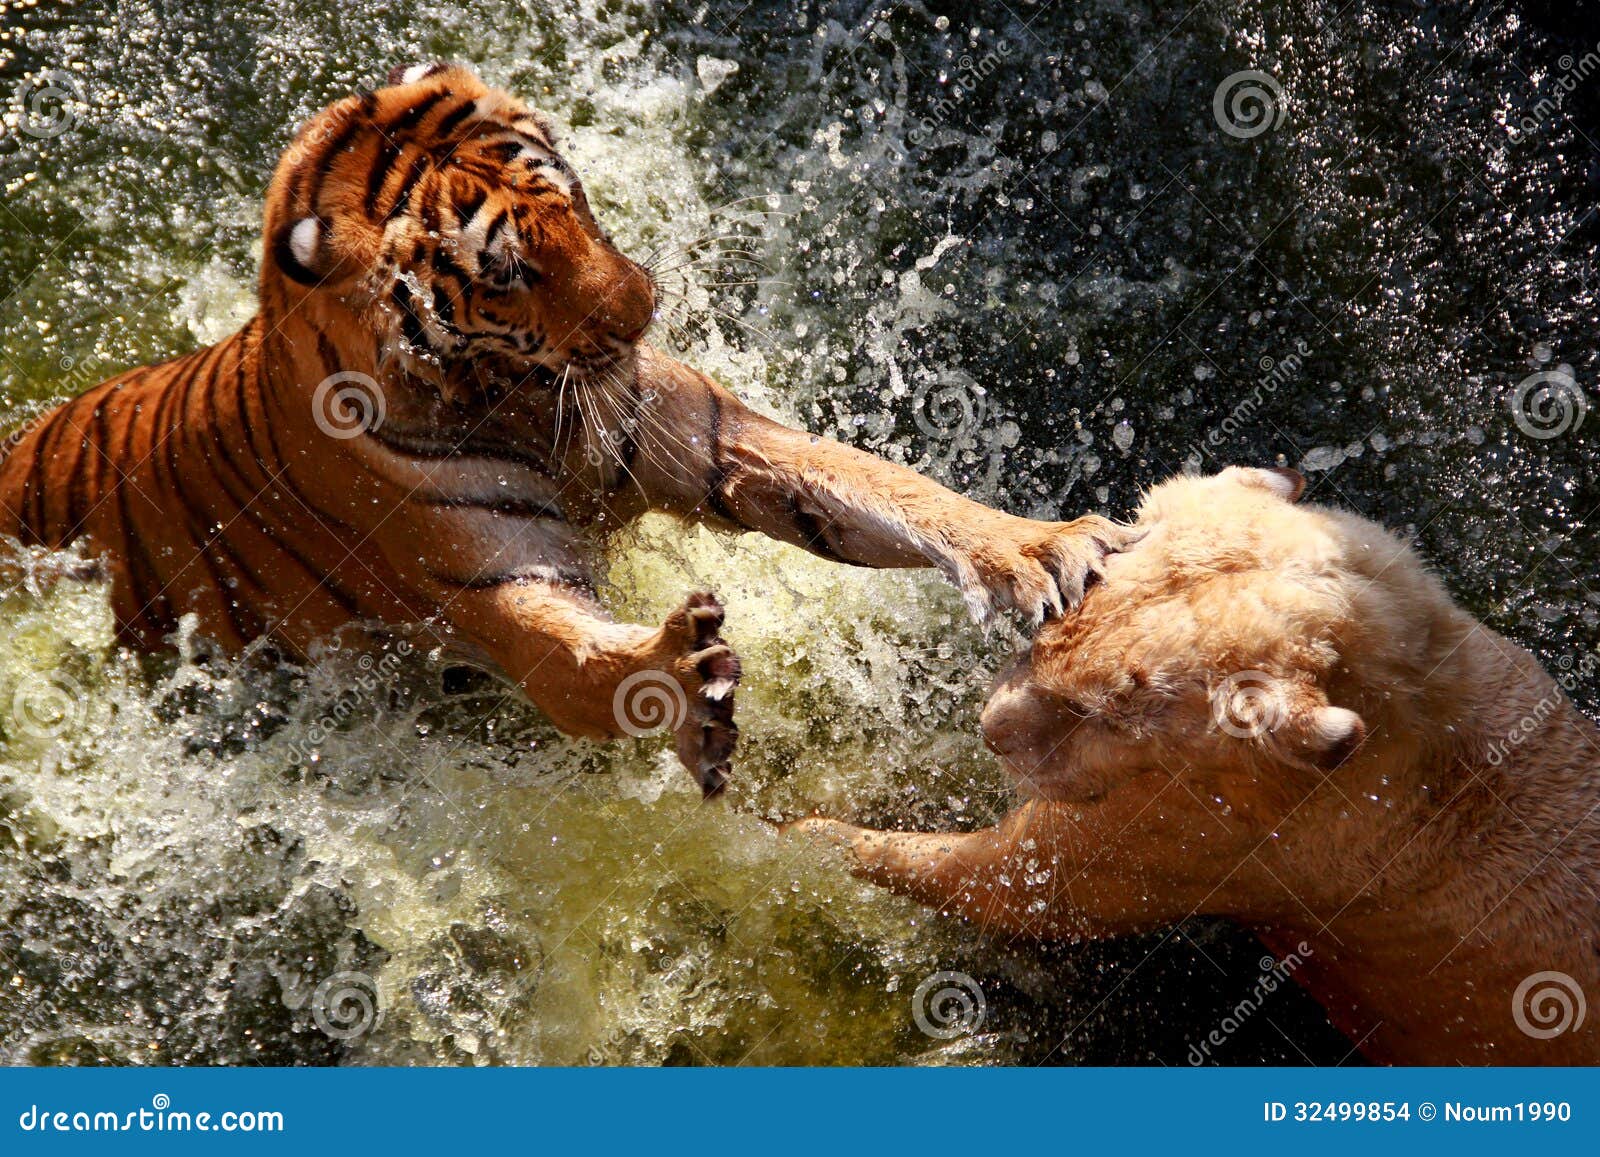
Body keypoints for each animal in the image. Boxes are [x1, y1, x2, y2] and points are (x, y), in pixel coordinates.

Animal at [0, 62, 1137, 796]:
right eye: (505, 270)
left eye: (570, 195)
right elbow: (585, 662)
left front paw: (1047, 546)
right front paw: (686, 684)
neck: (512, 394)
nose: (640, 315)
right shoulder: (489, 588)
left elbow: (879, 486)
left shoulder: (713, 439)